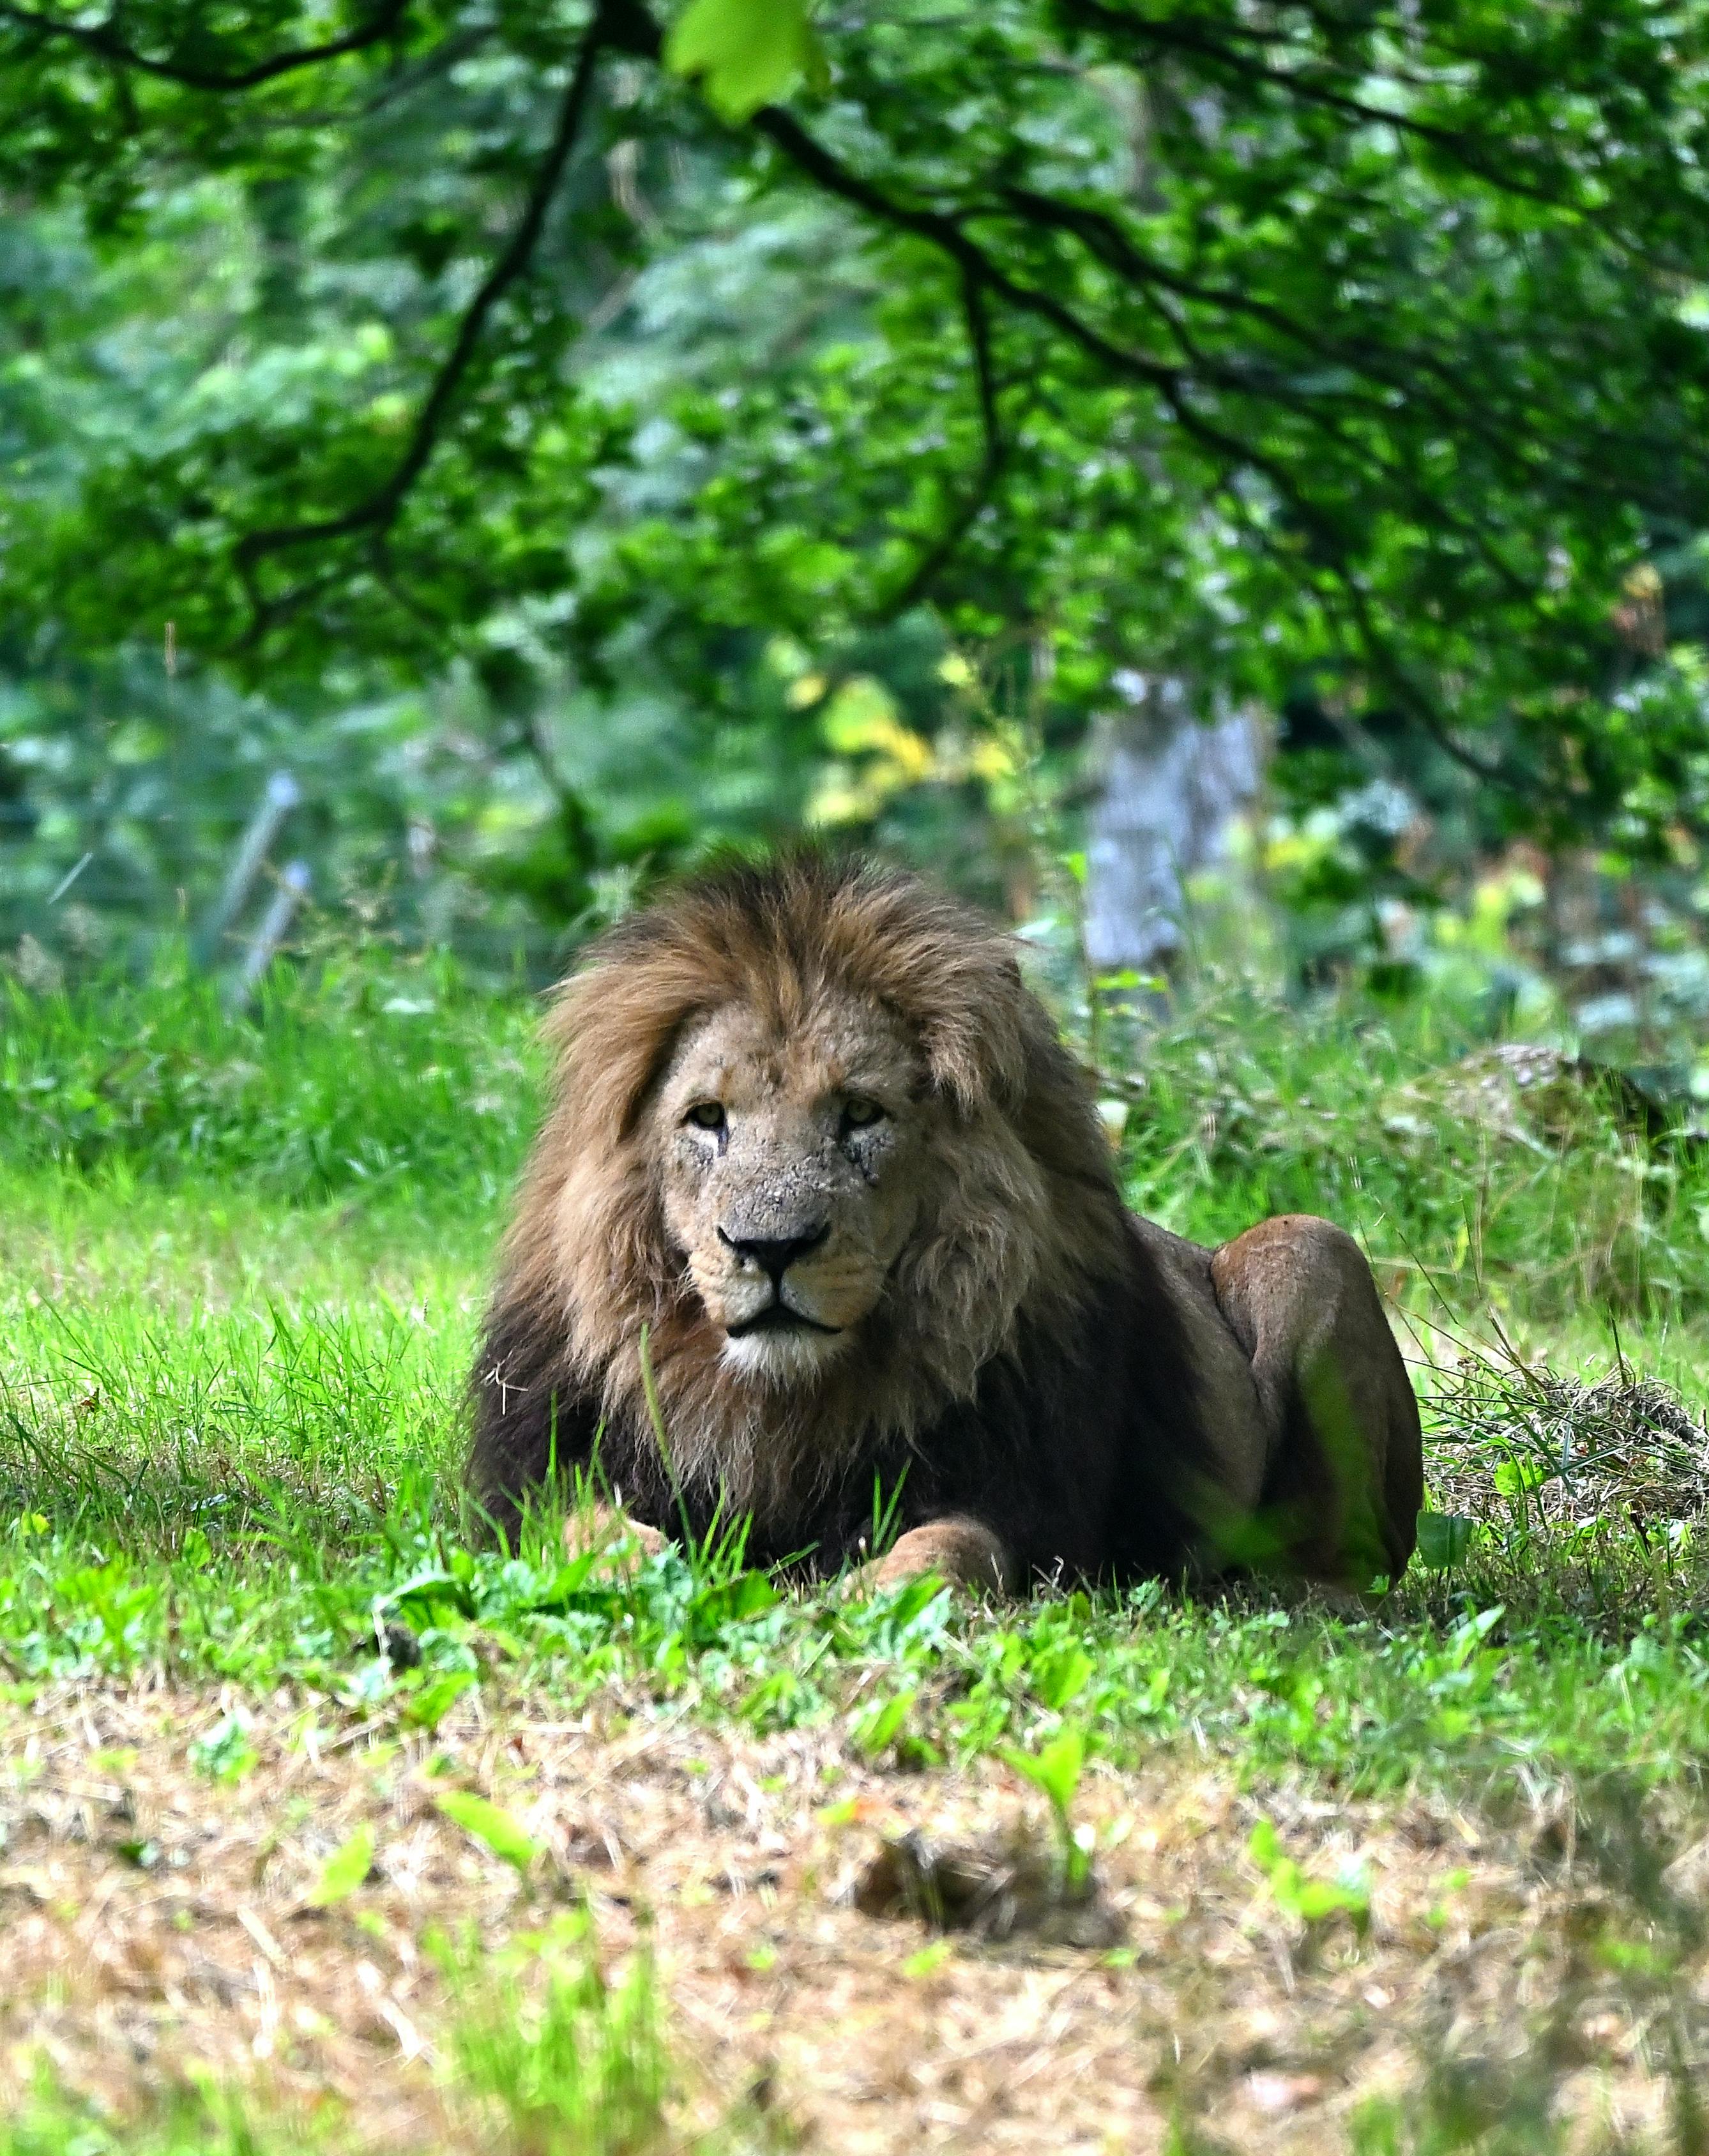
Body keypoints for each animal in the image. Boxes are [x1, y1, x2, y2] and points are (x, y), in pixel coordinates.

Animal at [468, 855, 1423, 1595]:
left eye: (860, 1114)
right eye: (707, 1119)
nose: (771, 1249)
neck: (774, 1406)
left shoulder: (1035, 1510)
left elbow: (953, 1544)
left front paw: (872, 1592)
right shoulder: (526, 1482)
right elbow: (577, 1526)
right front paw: (636, 1571)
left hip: (1315, 1248)